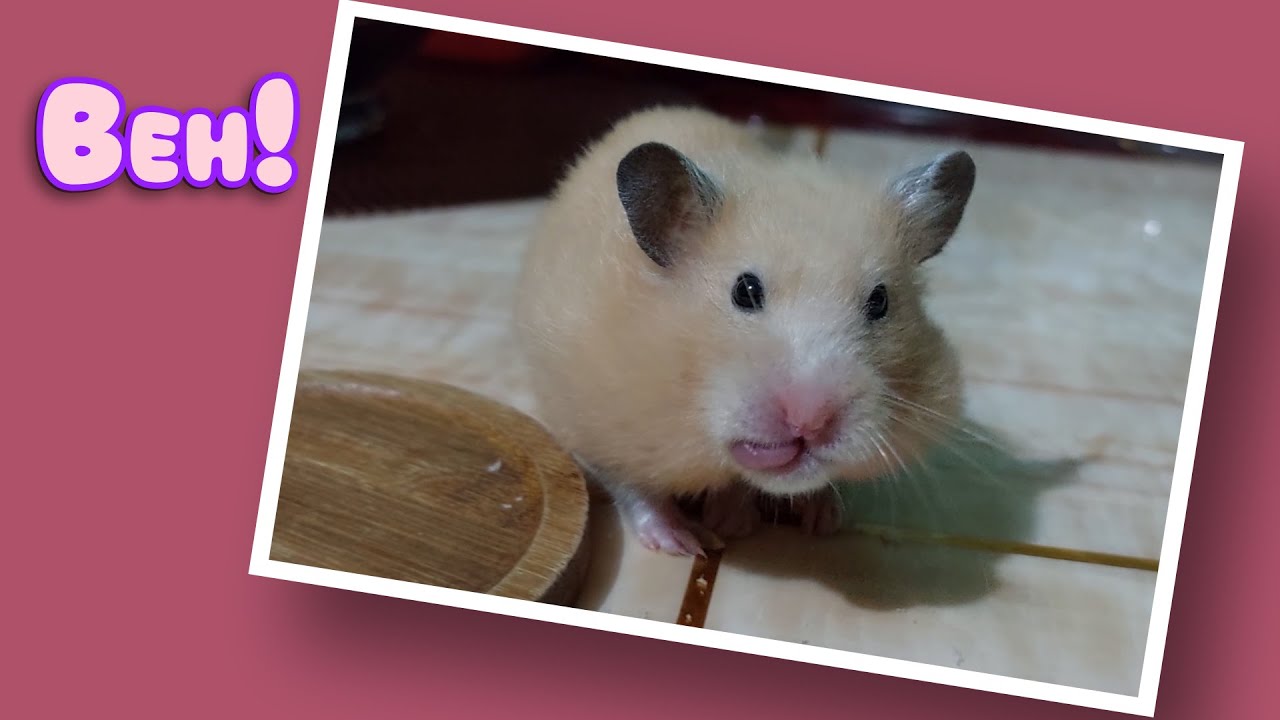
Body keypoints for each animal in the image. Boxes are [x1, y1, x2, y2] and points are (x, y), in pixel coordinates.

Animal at [514, 107, 974, 556]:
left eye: (880, 302)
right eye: (745, 291)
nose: (810, 422)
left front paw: (807, 520)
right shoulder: (591, 423)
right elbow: (635, 489)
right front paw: (692, 542)